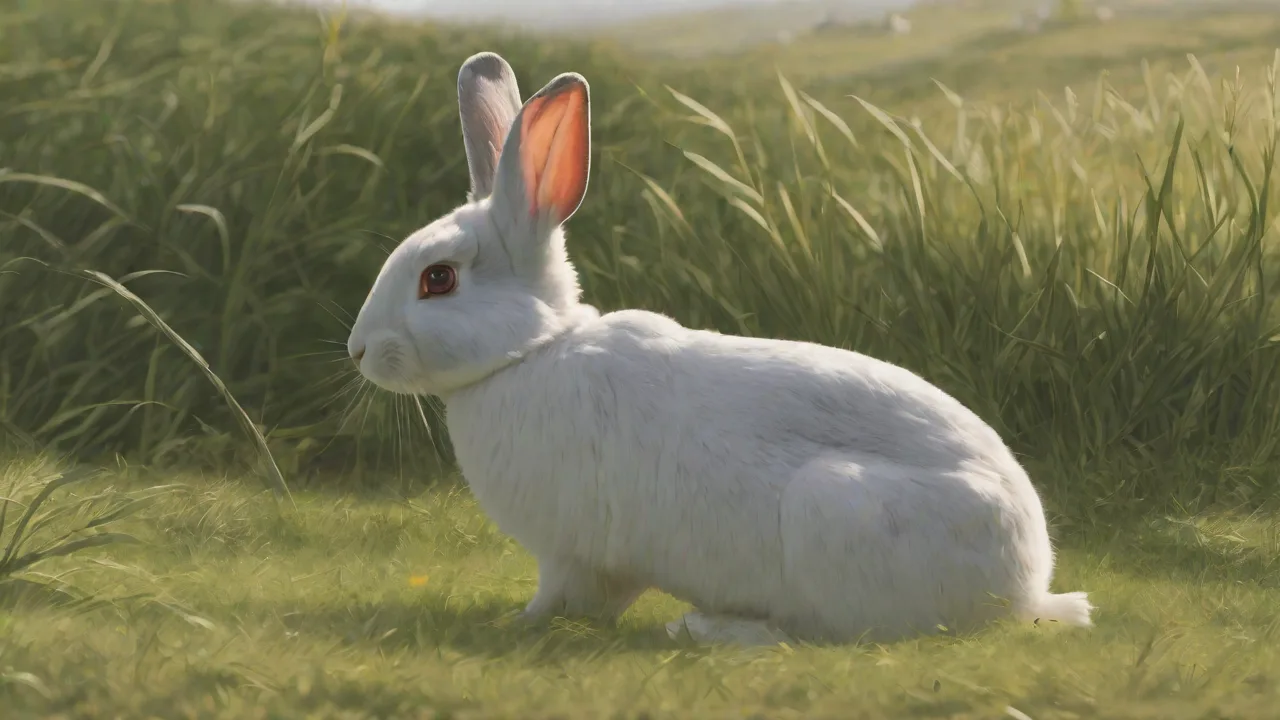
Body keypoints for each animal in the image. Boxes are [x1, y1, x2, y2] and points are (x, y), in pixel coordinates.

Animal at [345, 51, 1094, 646]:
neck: (532, 351)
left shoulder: (574, 556)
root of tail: (1026, 588)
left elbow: (562, 599)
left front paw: (513, 624)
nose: (357, 349)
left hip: (831, 513)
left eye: (438, 279)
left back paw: (710, 628)